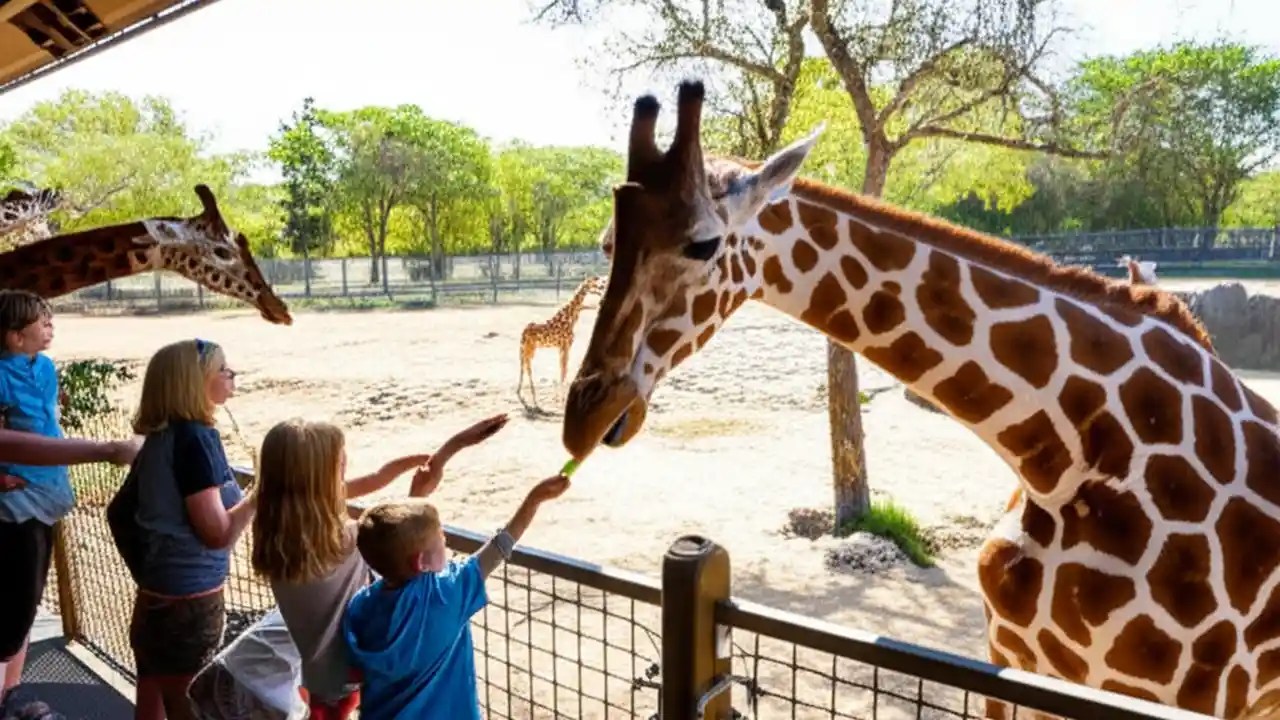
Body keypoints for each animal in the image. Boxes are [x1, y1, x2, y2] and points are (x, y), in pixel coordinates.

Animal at [517, 274, 607, 408]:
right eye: (596, 282)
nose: (603, 286)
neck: (571, 316)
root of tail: (523, 332)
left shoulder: (562, 348)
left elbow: (563, 370)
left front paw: (559, 398)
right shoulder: (566, 346)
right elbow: (564, 370)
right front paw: (562, 399)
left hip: (526, 350)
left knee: (523, 366)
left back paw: (520, 394)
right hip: (529, 349)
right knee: (528, 368)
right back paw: (534, 400)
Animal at [561, 81, 1280, 719]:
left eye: (704, 242)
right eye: (606, 243)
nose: (585, 418)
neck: (1065, 455)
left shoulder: (1183, 694)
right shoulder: (1013, 660)